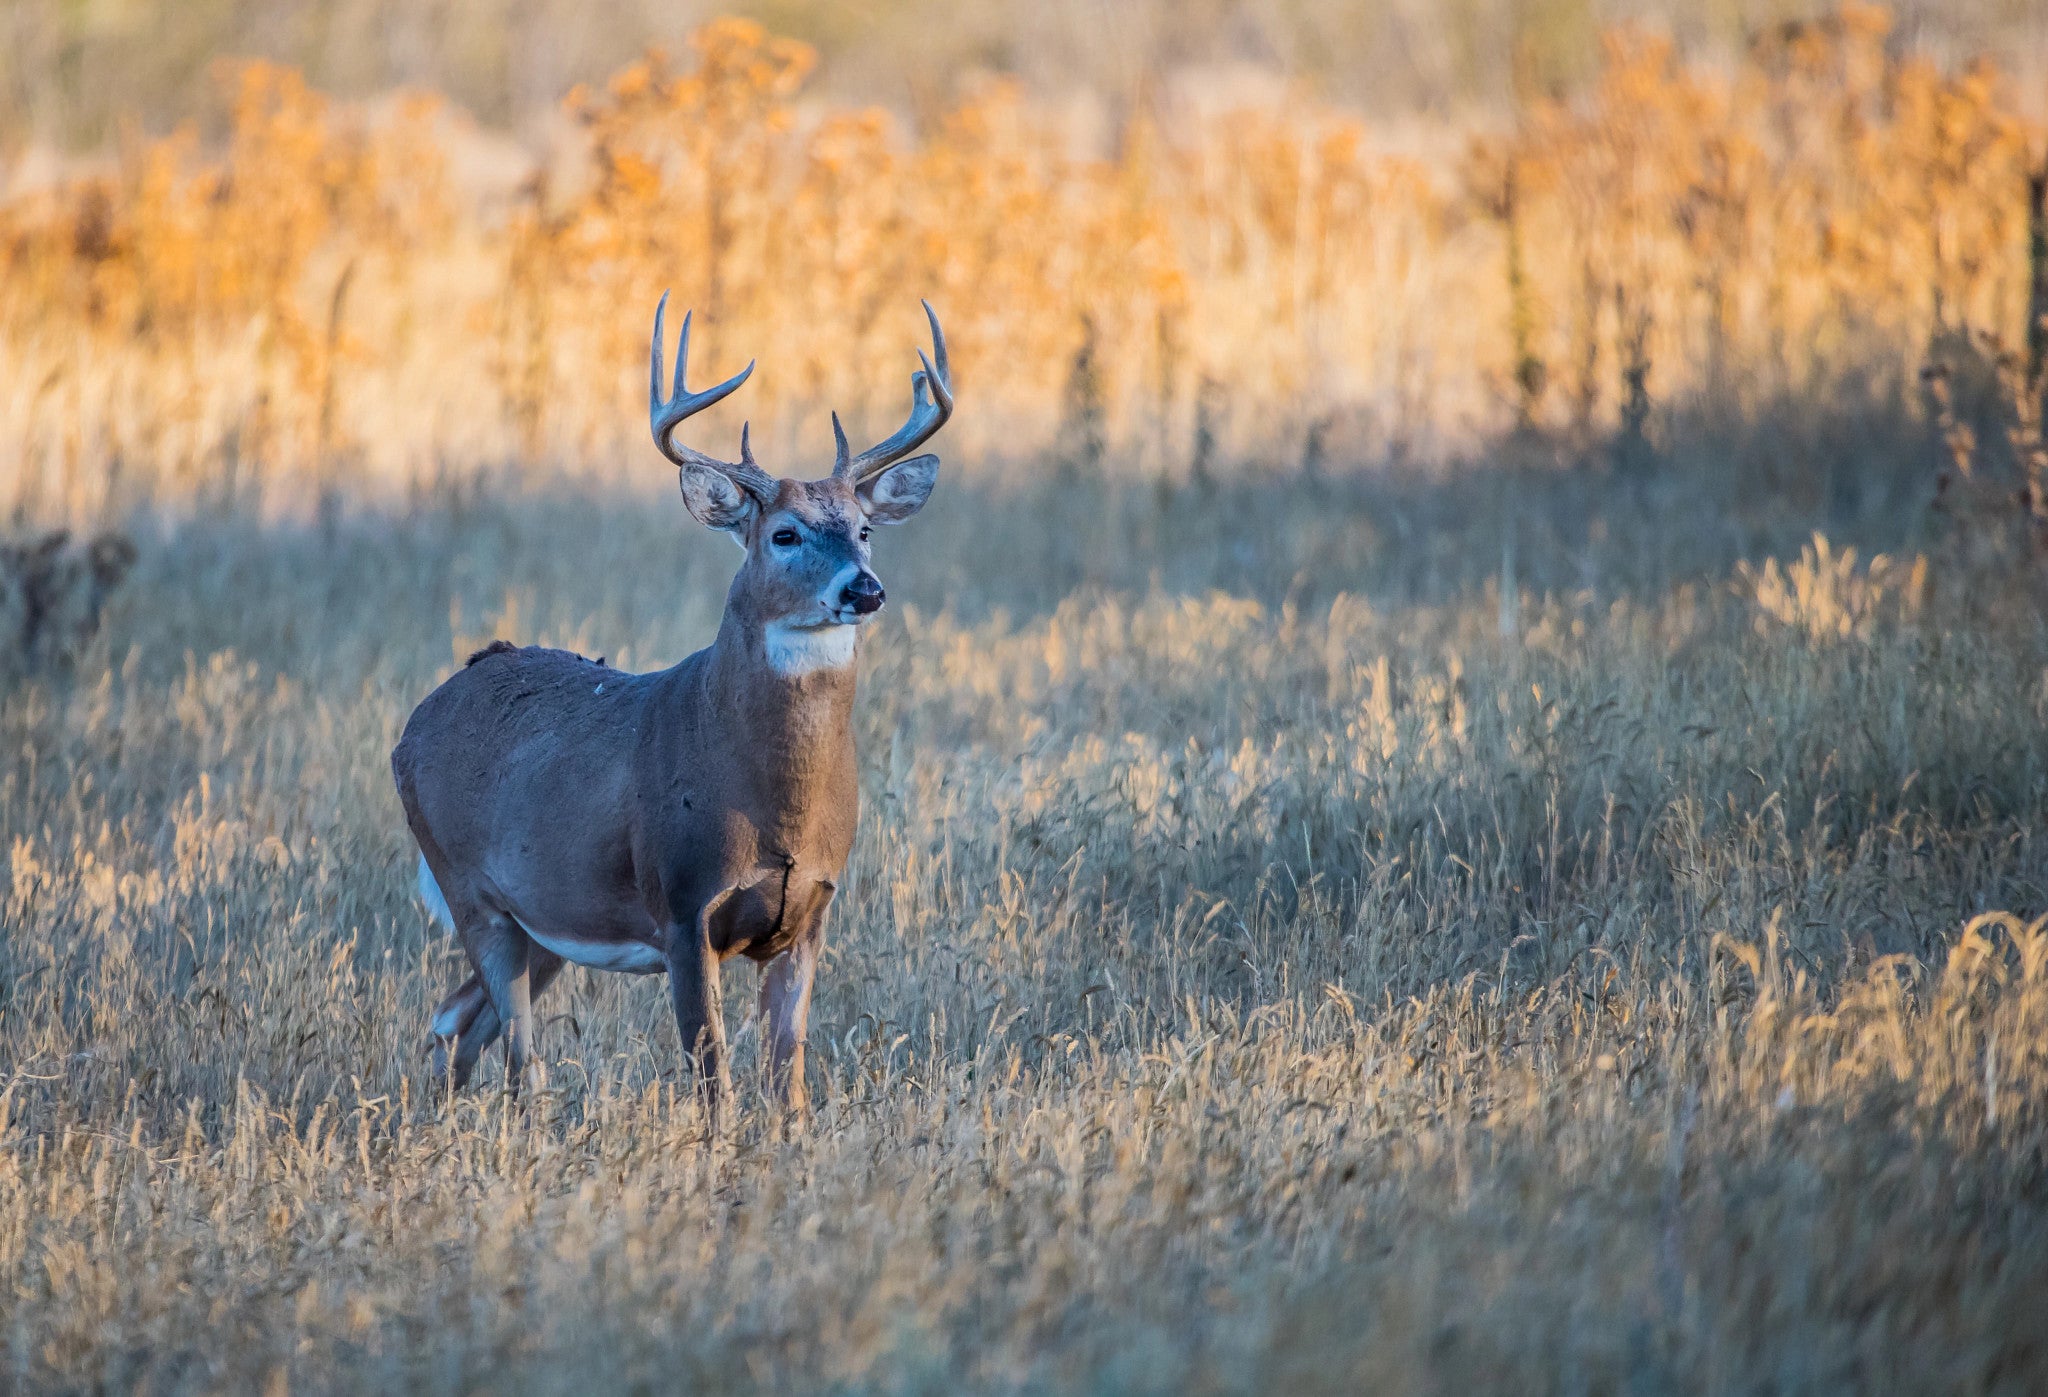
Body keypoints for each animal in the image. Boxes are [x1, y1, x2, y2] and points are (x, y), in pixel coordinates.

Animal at [390, 294, 952, 1111]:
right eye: (784, 534)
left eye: (865, 529)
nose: (864, 588)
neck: (773, 799)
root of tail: (418, 721)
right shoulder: (685, 906)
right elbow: (713, 1076)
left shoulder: (812, 912)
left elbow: (789, 1077)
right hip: (469, 885)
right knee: (517, 1055)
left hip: (544, 917)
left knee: (457, 1021)